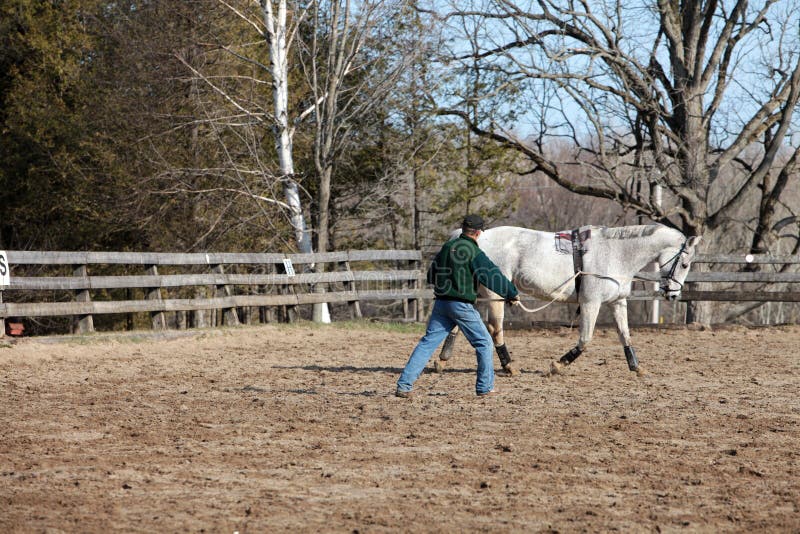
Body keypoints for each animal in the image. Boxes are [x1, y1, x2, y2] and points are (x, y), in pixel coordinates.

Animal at [433, 224, 702, 376]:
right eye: (685, 264)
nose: (673, 294)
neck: (615, 254)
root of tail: (473, 238)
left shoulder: (617, 302)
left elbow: (625, 336)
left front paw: (636, 367)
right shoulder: (591, 303)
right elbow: (585, 339)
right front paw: (558, 365)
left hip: (479, 291)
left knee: (459, 321)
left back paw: (442, 361)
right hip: (495, 296)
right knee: (494, 328)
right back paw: (508, 366)